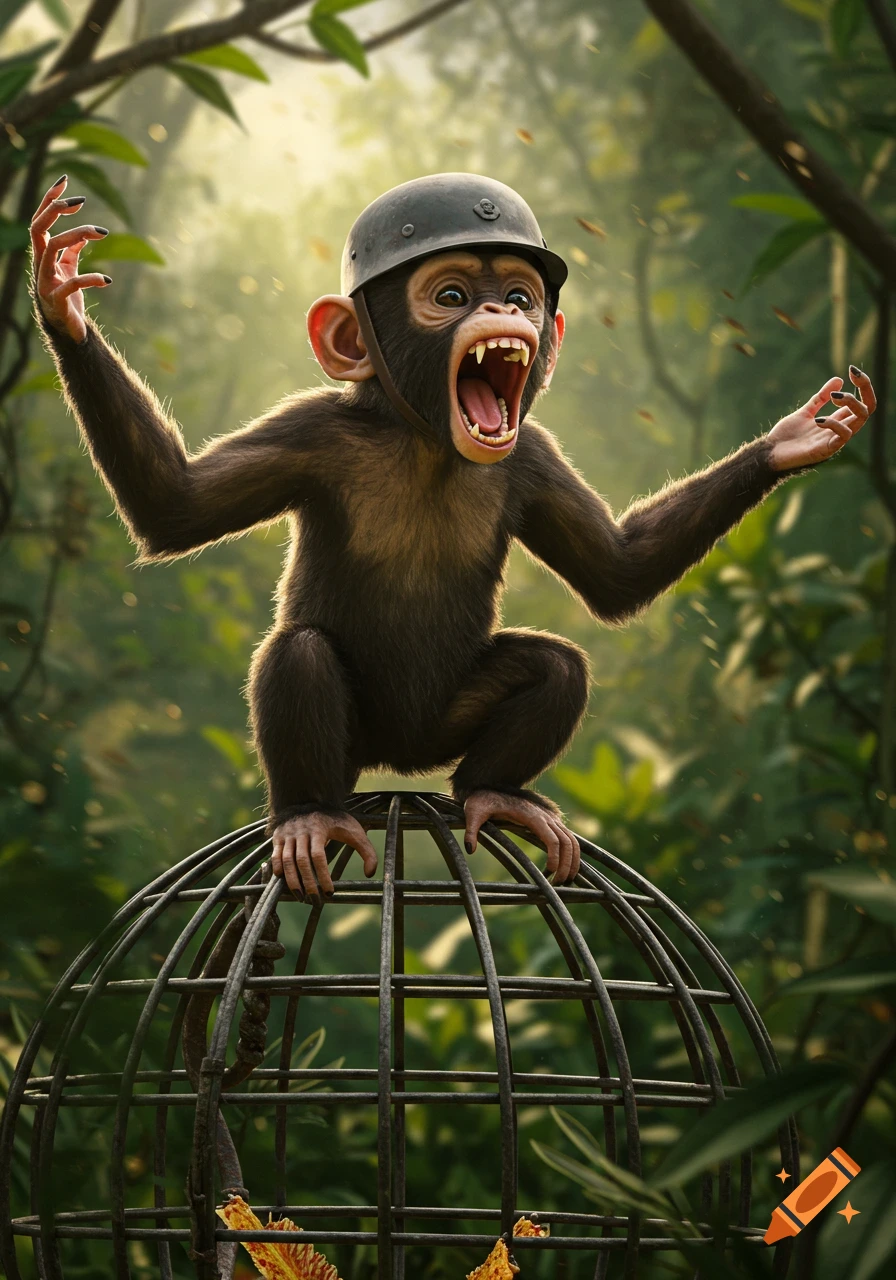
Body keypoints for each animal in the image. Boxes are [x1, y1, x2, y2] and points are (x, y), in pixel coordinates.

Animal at [30, 172, 875, 899]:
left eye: (521, 296)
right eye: (452, 295)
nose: (503, 317)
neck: (425, 435)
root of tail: (395, 772)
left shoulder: (533, 455)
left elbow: (617, 571)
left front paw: (792, 441)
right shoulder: (308, 431)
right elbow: (176, 505)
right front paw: (60, 303)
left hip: (447, 724)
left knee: (554, 668)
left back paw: (497, 794)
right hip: (354, 744)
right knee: (300, 654)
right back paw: (308, 816)